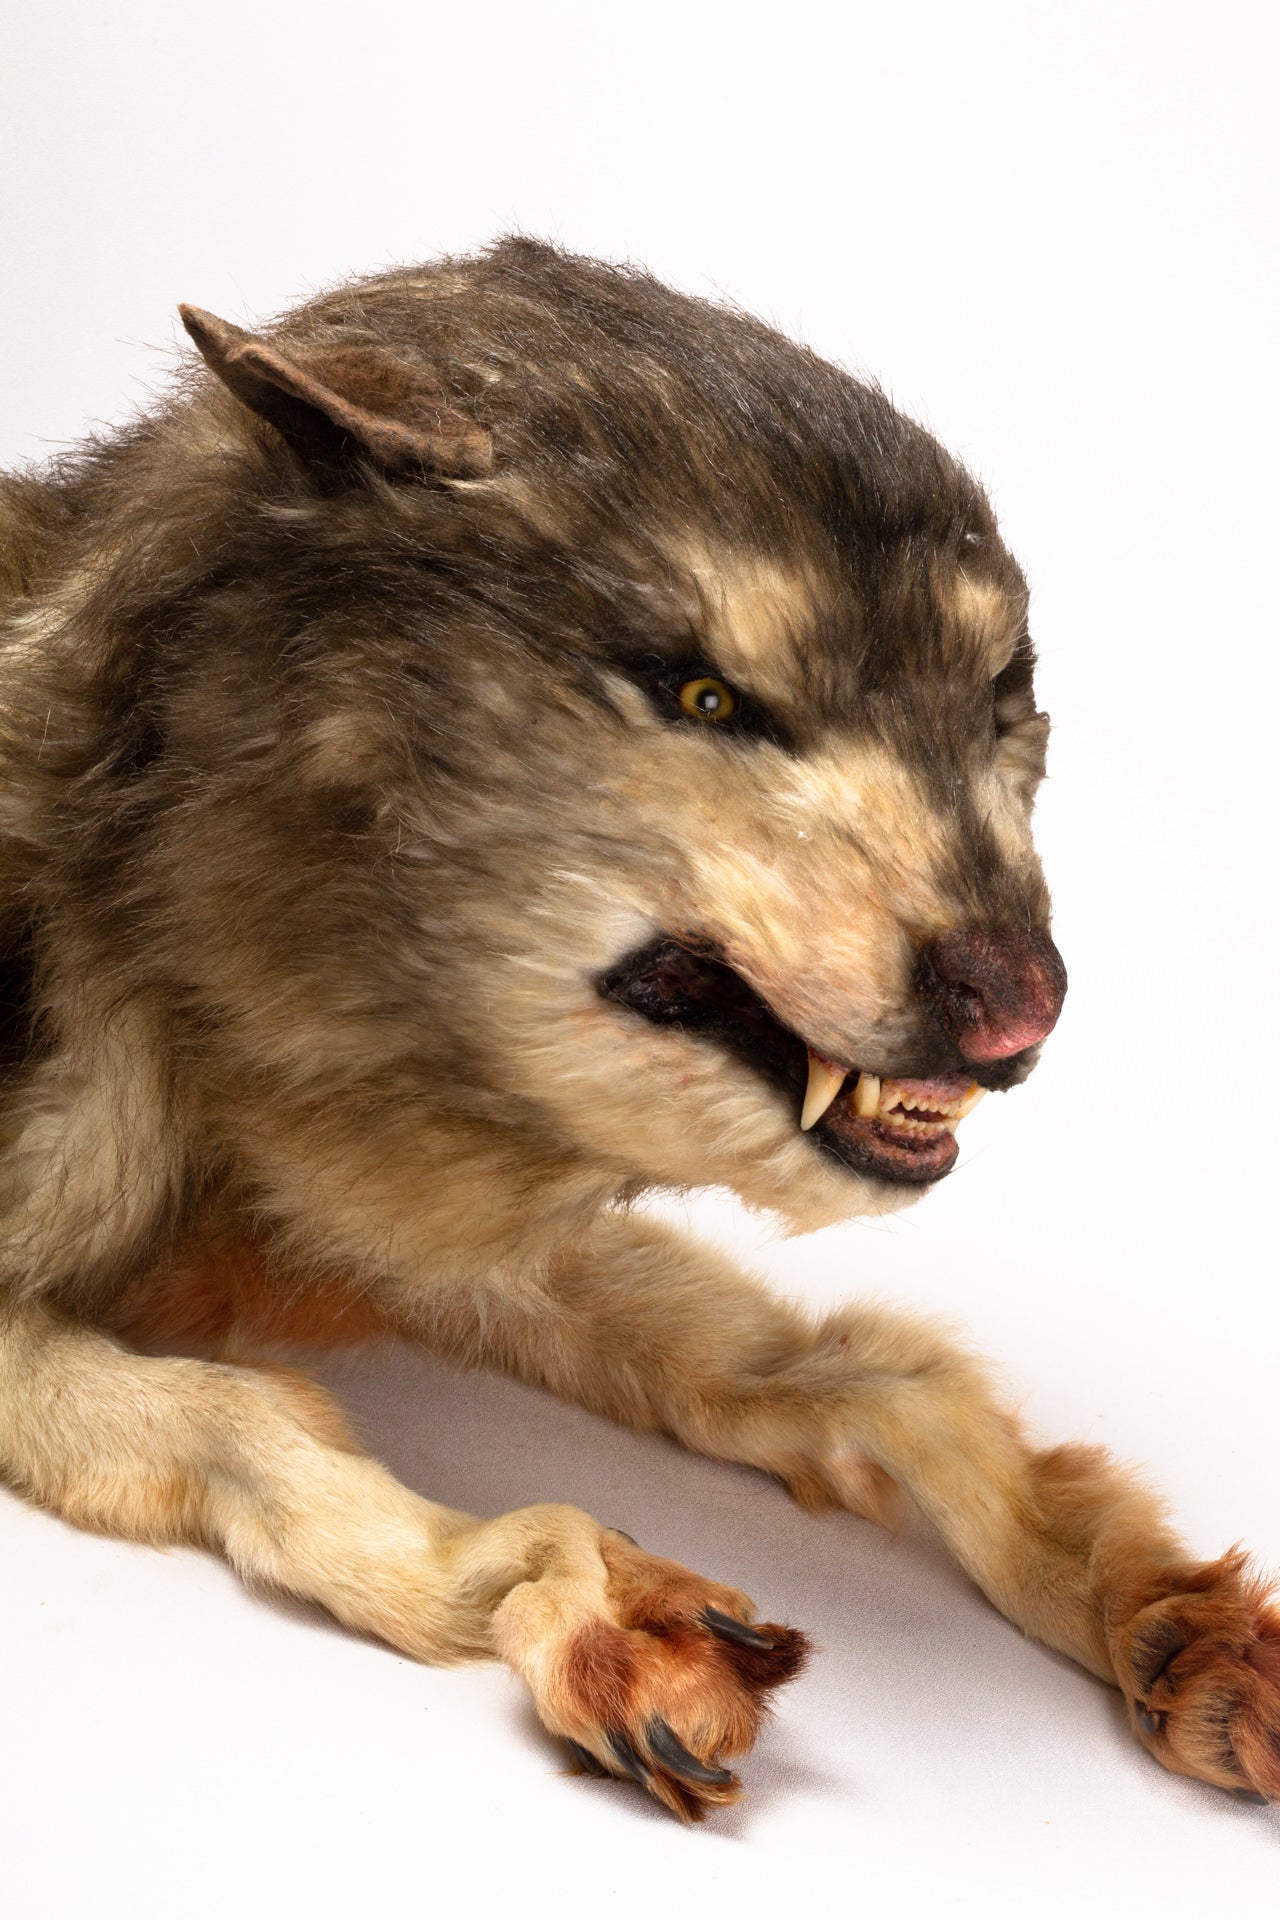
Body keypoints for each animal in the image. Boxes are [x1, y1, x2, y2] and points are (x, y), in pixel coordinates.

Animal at [1, 239, 1275, 1818]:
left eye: (997, 706)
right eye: (708, 697)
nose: (1020, 997)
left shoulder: (436, 1239)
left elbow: (862, 1370)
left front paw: (1151, 1608)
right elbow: (259, 1427)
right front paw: (575, 1596)